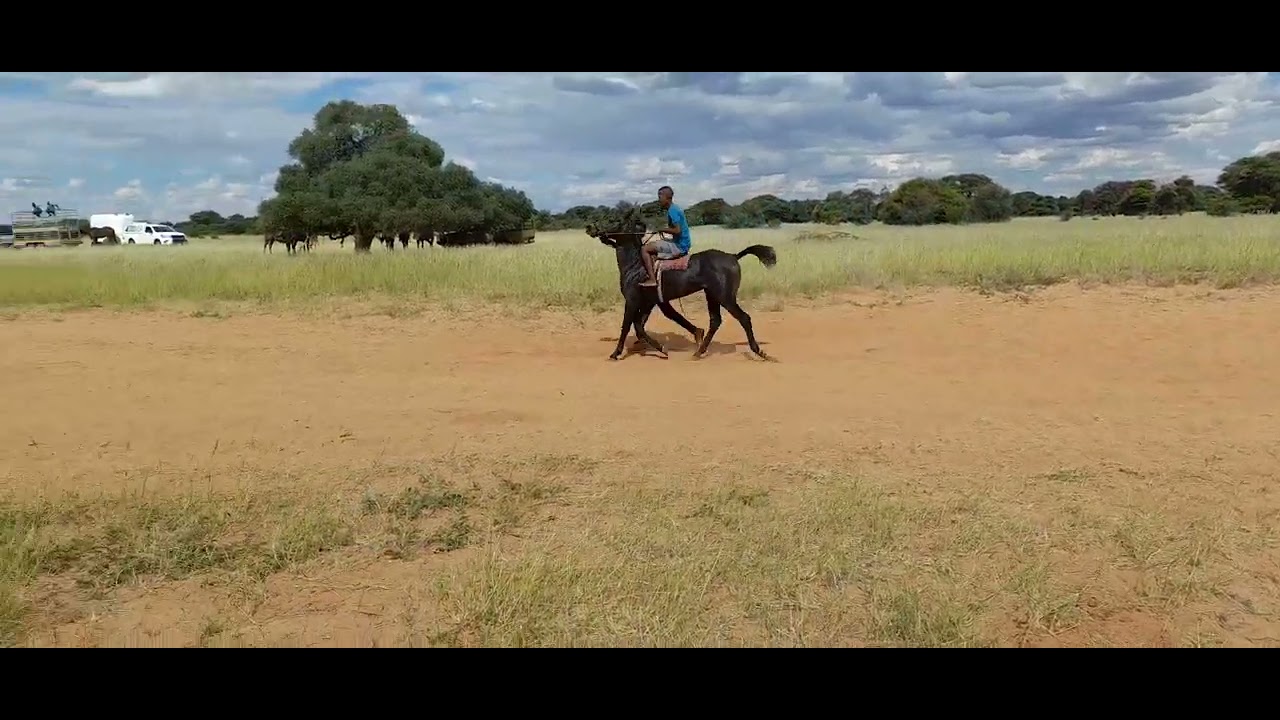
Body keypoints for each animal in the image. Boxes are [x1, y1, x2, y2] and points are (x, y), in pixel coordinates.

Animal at [591, 229, 777, 361]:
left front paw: (615, 353)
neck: (636, 266)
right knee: (715, 320)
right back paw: (699, 352)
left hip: (725, 297)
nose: (595, 230)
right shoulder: (650, 302)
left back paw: (759, 352)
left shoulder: (632, 301)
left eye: (613, 220)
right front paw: (660, 348)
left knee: (744, 318)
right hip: (712, 295)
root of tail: (733, 256)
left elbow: (626, 326)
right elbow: (640, 326)